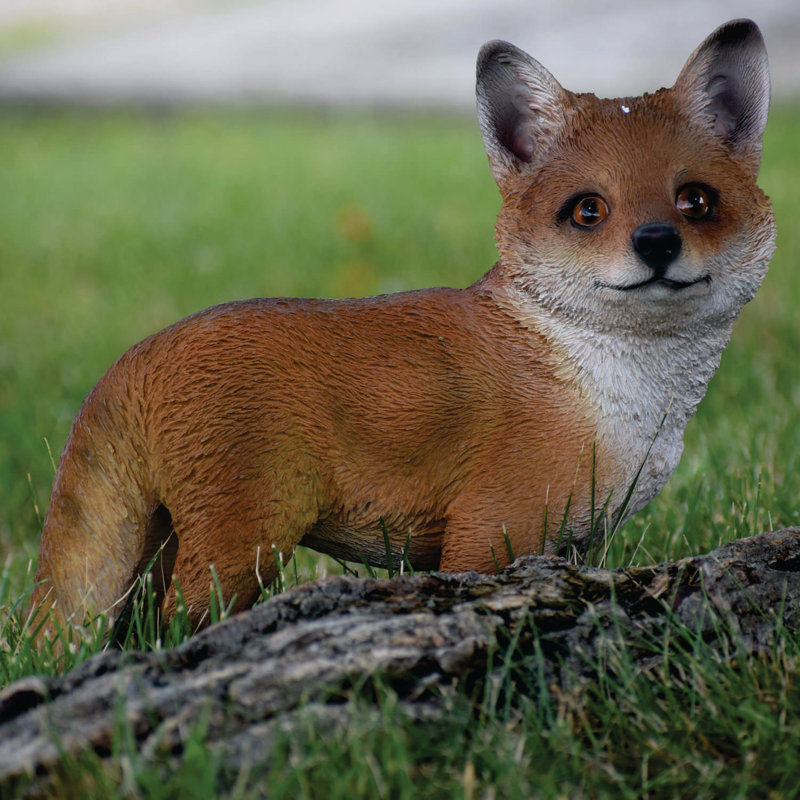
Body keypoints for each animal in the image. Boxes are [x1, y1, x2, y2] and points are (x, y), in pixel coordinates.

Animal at [30, 19, 775, 639]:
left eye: (695, 201)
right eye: (588, 210)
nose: (656, 243)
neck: (618, 403)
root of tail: (136, 357)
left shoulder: (571, 544)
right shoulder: (489, 533)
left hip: (165, 541)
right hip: (244, 542)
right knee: (171, 626)